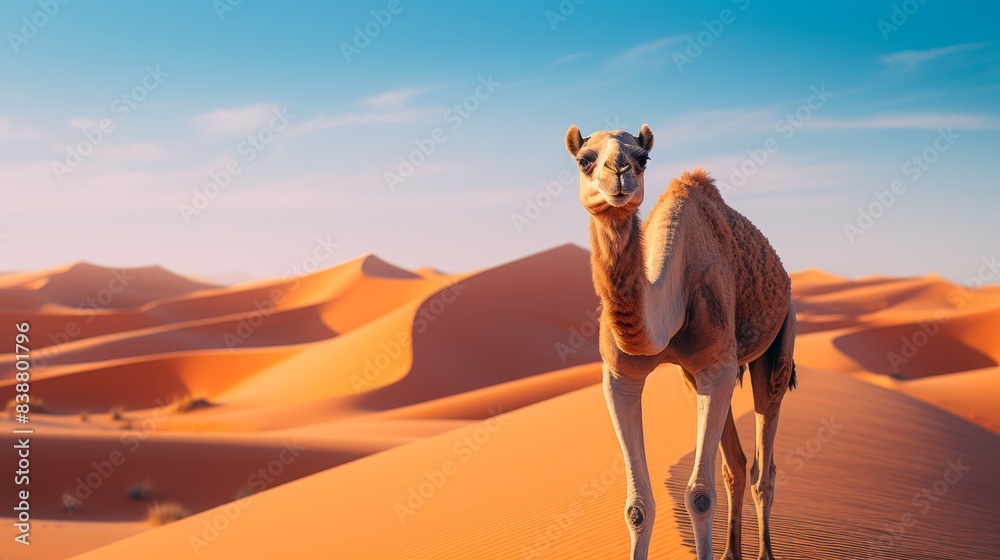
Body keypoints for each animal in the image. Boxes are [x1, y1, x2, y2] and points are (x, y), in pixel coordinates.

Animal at [564, 124, 797, 560]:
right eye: (585, 159)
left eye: (642, 158)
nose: (619, 171)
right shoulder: (620, 378)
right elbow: (637, 506)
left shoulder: (715, 365)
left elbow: (700, 496)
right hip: (703, 375)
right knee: (736, 465)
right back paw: (730, 554)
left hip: (778, 342)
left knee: (765, 462)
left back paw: (765, 554)